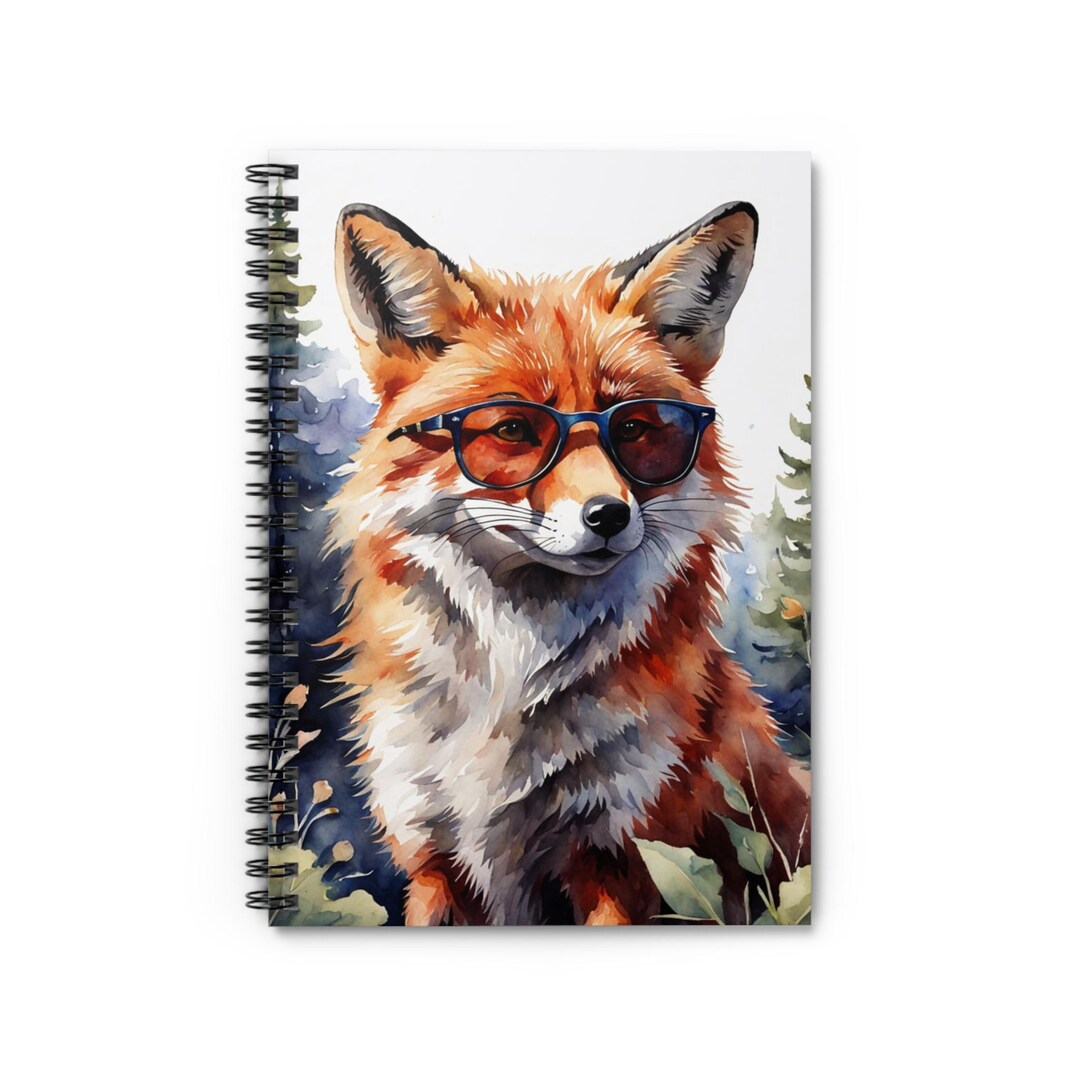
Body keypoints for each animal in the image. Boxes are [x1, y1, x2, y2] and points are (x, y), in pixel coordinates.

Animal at [325, 200, 810, 925]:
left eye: (633, 427)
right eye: (514, 430)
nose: (609, 516)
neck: (511, 685)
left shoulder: (620, 855)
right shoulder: (433, 861)